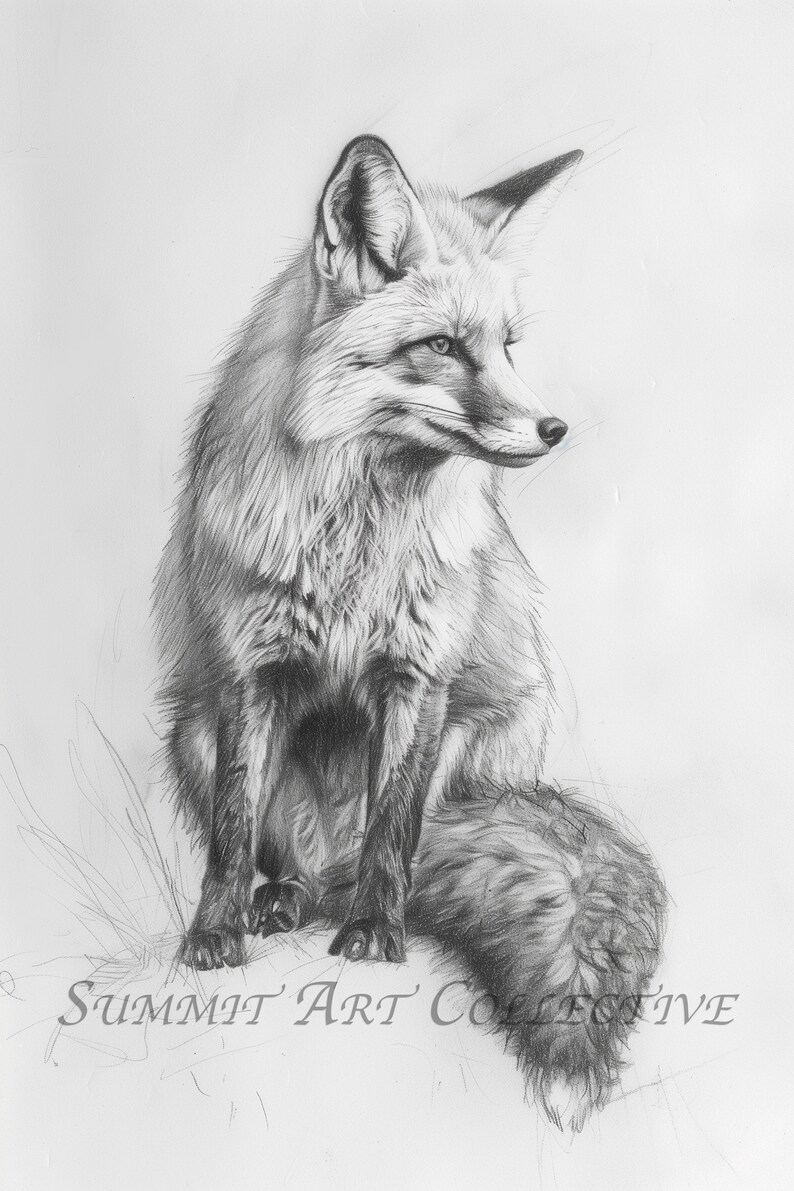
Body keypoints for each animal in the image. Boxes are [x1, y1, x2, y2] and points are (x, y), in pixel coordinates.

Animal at [154, 135, 666, 1131]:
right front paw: (214, 932)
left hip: (484, 739)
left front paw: (377, 933)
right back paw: (288, 899)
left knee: (391, 853)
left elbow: (394, 824)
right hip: (191, 729)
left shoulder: (420, 674)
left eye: (507, 346)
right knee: (294, 865)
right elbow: (231, 831)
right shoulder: (249, 675)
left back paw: (353, 904)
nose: (553, 427)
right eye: (441, 346)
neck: (357, 538)